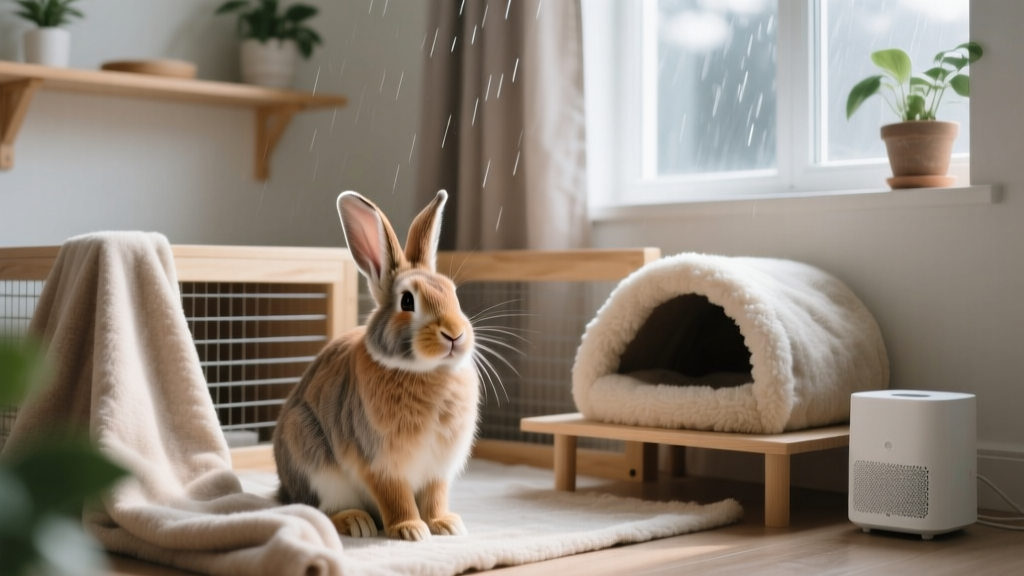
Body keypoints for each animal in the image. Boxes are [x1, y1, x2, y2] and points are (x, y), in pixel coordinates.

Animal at [273, 189, 480, 541]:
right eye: (407, 301)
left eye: (453, 294)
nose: (454, 334)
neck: (425, 371)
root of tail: (285, 491)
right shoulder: (379, 462)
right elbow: (395, 496)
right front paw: (411, 530)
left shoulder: (438, 469)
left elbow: (436, 497)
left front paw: (446, 525)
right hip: (313, 459)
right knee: (320, 510)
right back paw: (358, 523)